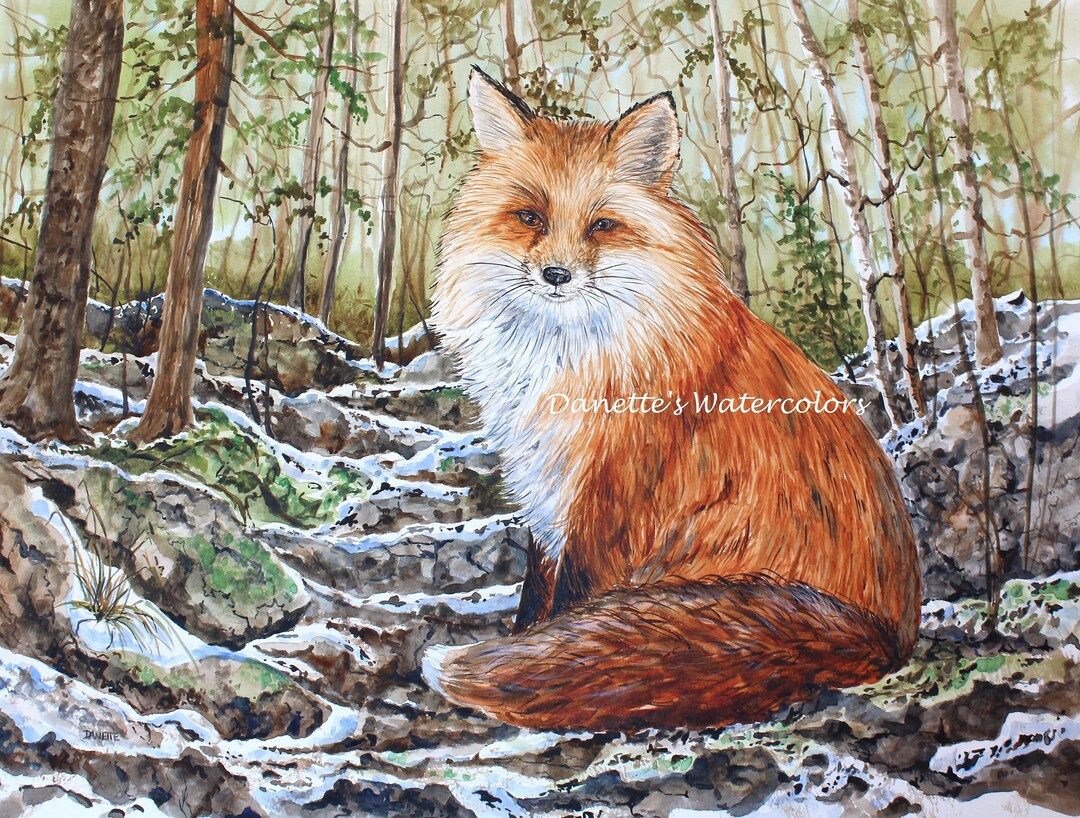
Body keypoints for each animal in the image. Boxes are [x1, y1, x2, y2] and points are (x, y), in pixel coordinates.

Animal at [423, 67, 921, 731]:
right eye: (530, 216)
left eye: (601, 225)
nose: (556, 276)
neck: (565, 364)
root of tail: (889, 639)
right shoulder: (549, 493)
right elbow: (536, 597)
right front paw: (520, 640)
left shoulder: (608, 503)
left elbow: (569, 602)